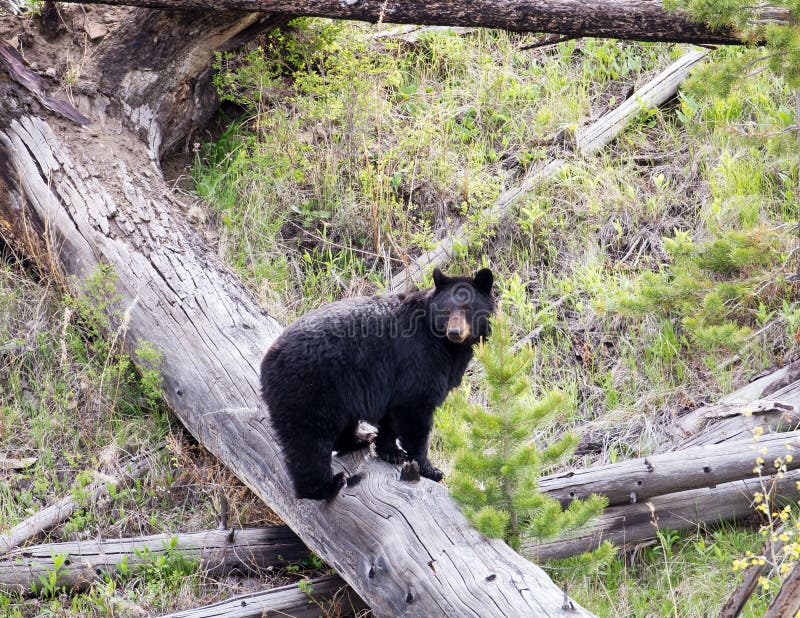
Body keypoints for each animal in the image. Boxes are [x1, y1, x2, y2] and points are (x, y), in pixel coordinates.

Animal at [260, 267, 496, 500]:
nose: (455, 332)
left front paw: (391, 452)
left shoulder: (393, 380)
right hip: (308, 389)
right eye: (446, 311)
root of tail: (269, 358)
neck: (446, 345)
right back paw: (328, 485)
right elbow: (415, 412)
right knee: (308, 441)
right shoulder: (419, 359)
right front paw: (430, 469)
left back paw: (359, 440)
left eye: (467, 307)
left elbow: (392, 416)